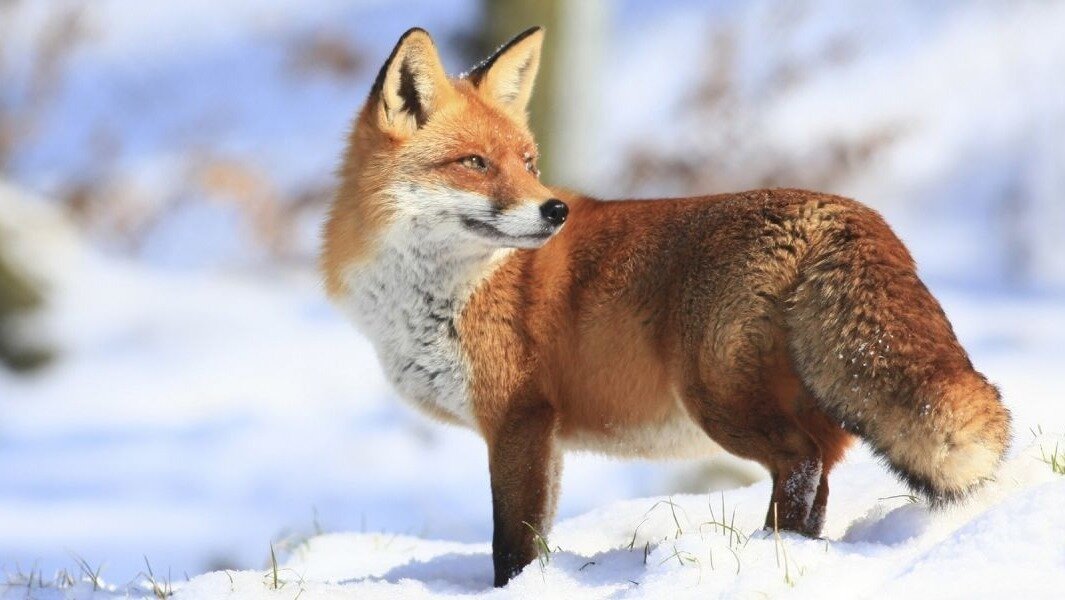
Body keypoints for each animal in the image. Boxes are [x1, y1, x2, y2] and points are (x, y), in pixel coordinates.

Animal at [320, 26, 1012, 586]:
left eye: (528, 163)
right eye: (474, 162)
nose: (555, 210)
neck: (444, 291)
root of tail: (843, 209)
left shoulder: (518, 419)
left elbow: (511, 545)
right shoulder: (546, 436)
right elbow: (537, 534)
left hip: (717, 397)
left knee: (800, 464)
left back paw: (766, 556)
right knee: (819, 483)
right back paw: (793, 554)